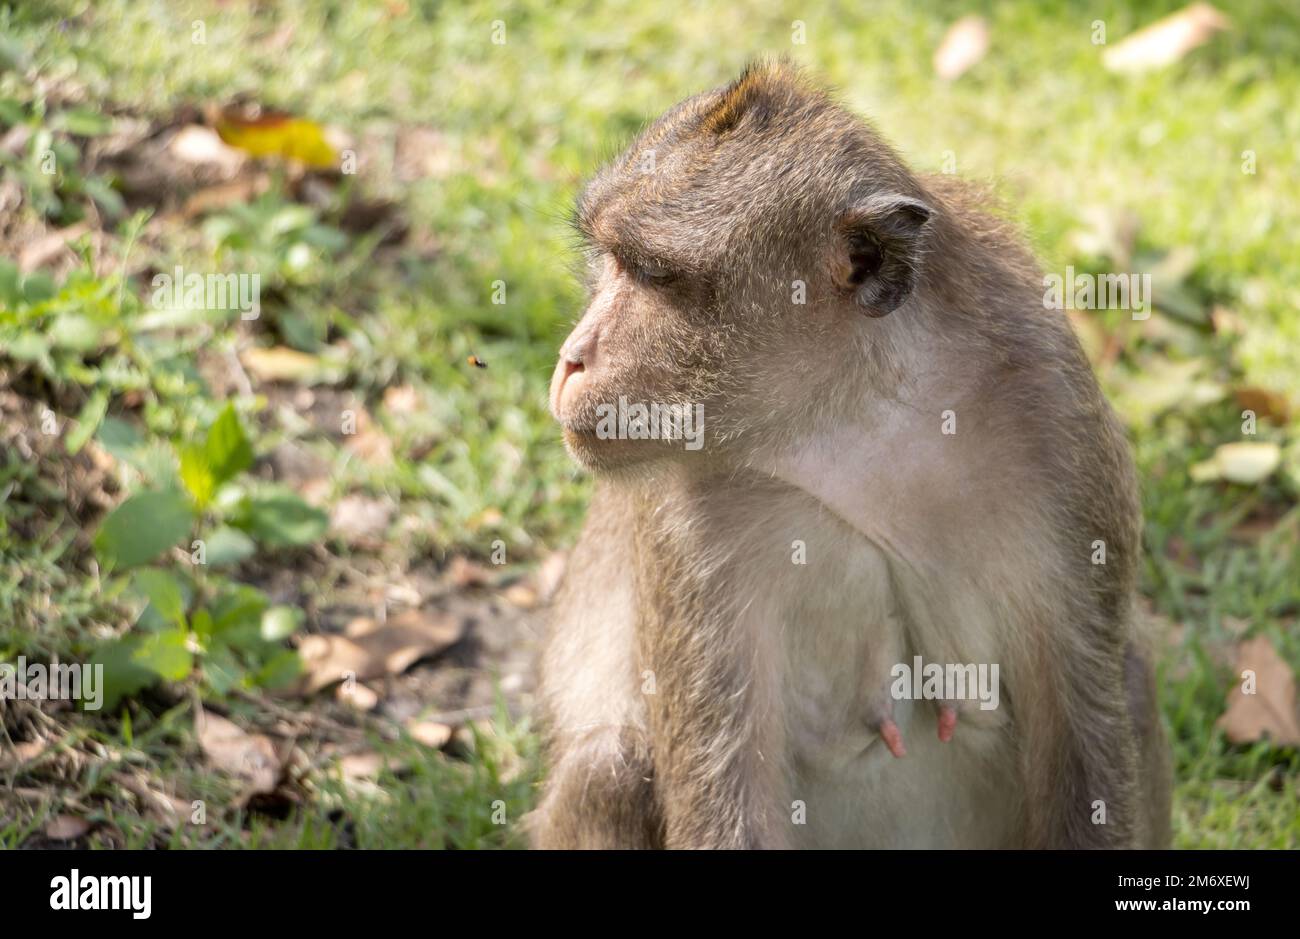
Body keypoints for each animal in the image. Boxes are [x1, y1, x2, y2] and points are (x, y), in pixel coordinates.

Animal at [527, 61, 1171, 849]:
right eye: (609, 262)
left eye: (651, 274)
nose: (571, 359)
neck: (852, 422)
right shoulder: (687, 521)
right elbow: (726, 788)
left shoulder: (1064, 432)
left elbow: (1084, 727)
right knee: (607, 765)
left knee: (1132, 676)